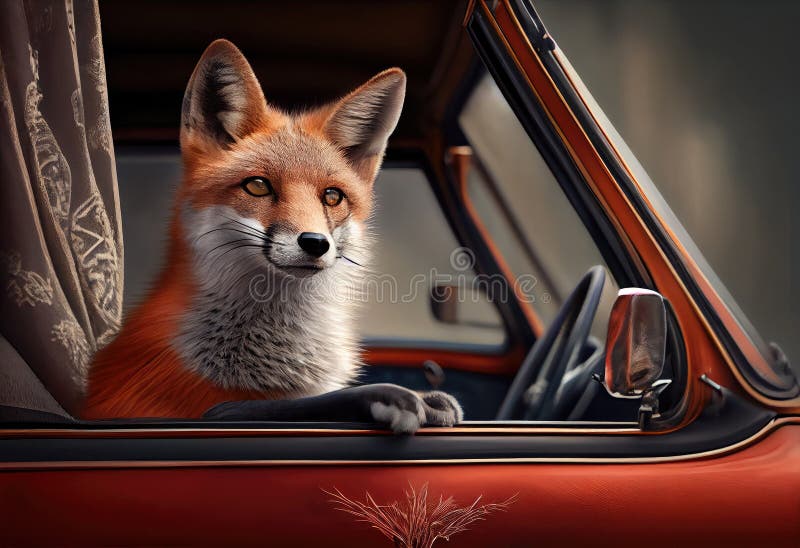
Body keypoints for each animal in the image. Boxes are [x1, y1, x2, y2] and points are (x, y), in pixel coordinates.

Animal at [83, 39, 462, 433]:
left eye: (332, 196)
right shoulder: (203, 411)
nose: (315, 243)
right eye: (258, 186)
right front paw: (389, 396)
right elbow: (289, 406)